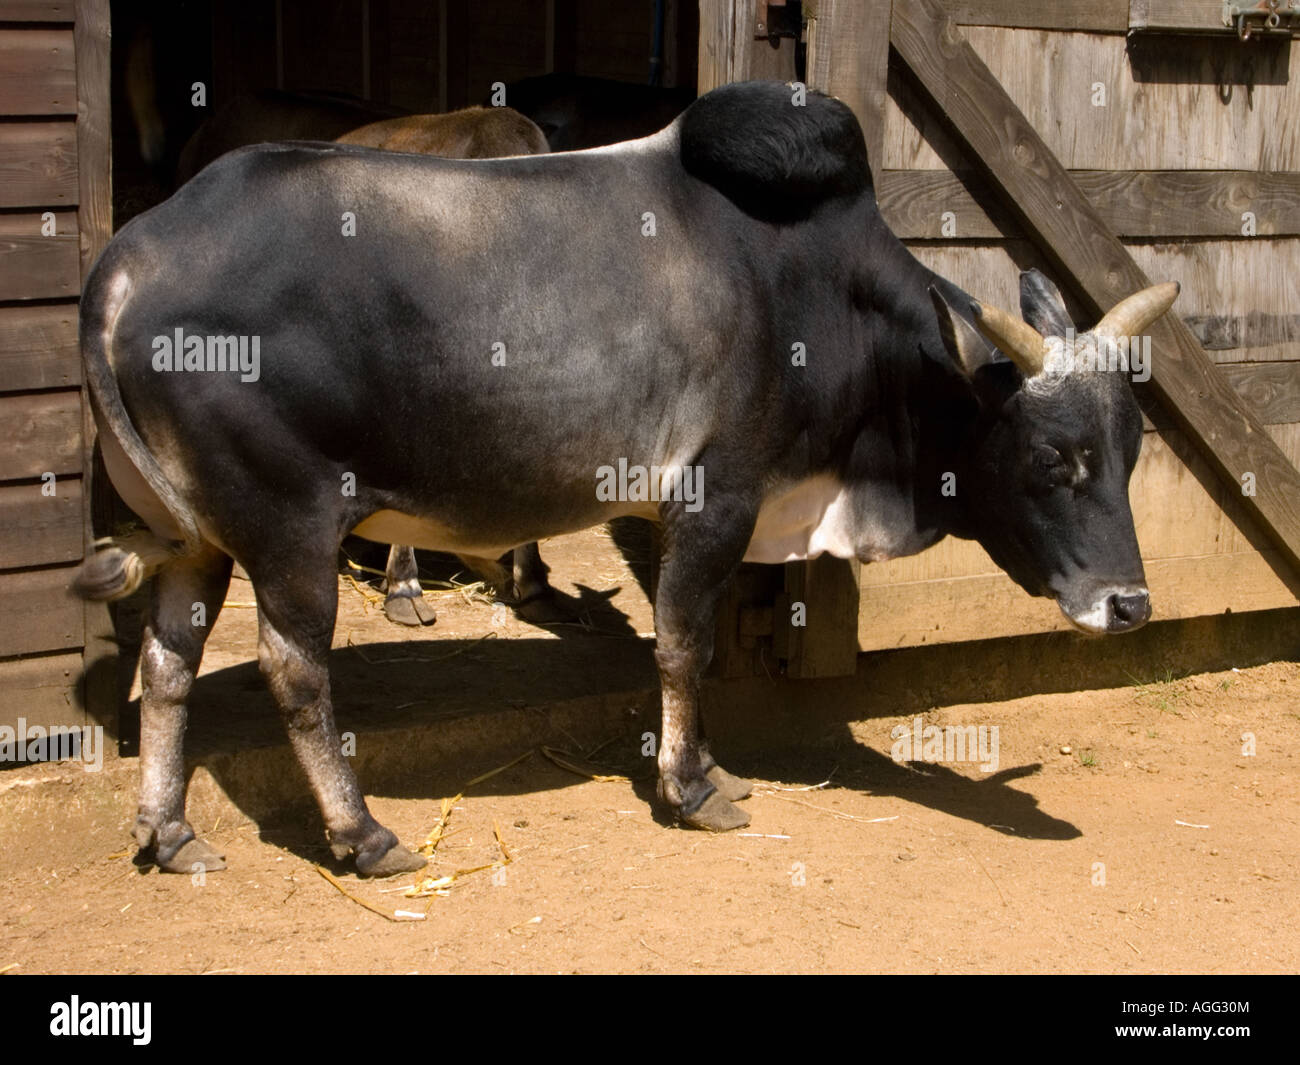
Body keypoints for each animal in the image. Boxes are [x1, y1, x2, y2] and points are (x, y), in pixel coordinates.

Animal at [73, 81, 1177, 877]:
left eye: (1129, 450)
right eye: (1054, 457)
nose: (1128, 605)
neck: (822, 301)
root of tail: (131, 257)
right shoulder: (712, 500)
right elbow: (683, 645)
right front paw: (692, 787)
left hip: (198, 541)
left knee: (166, 666)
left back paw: (169, 833)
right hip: (288, 530)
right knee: (293, 671)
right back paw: (364, 835)